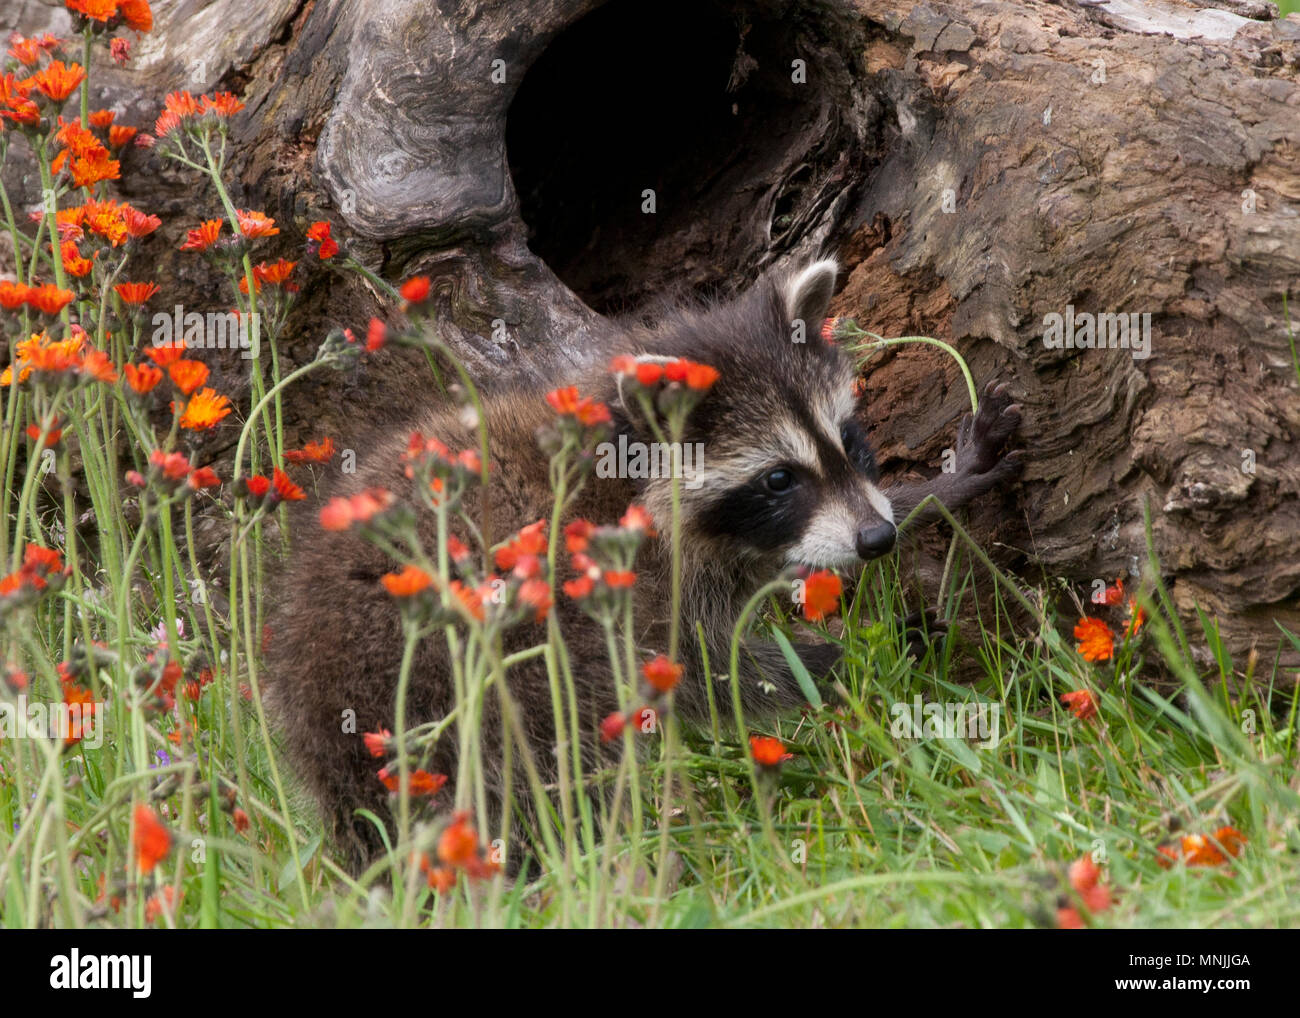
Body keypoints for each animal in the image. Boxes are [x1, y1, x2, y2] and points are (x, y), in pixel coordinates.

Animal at [265, 259, 1022, 868]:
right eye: (779, 479)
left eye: (847, 439)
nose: (876, 539)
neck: (625, 468)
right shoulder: (634, 580)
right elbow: (713, 674)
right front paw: (850, 663)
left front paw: (936, 489)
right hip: (466, 673)